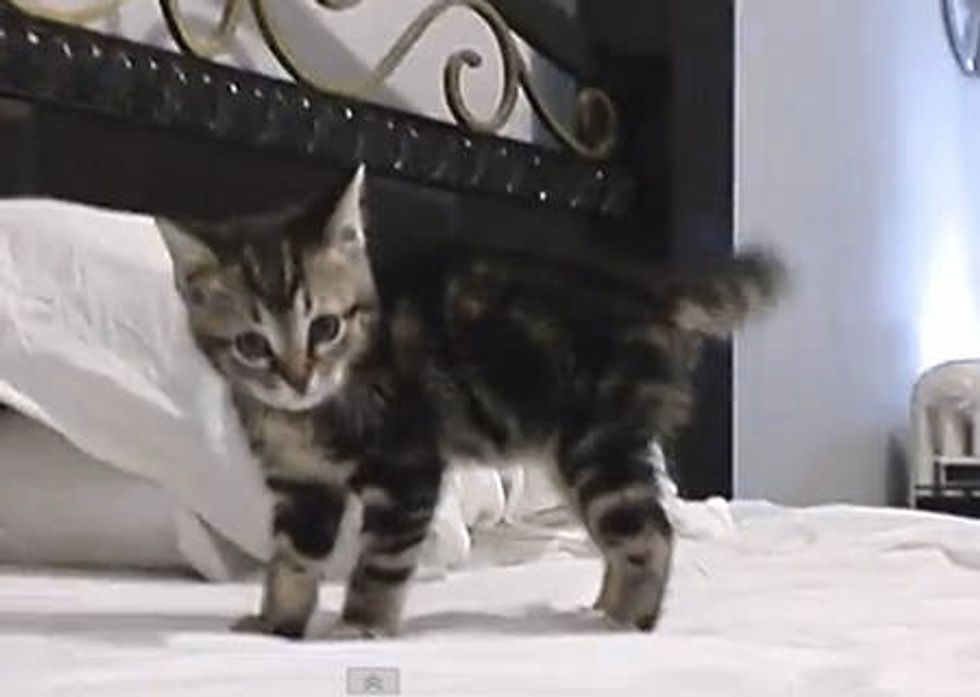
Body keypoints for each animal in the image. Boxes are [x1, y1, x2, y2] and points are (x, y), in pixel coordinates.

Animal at [157, 165, 784, 639]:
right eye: (251, 345)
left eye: (325, 327)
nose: (296, 378)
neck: (310, 413)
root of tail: (644, 288)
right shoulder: (301, 485)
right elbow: (291, 558)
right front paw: (278, 623)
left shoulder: (407, 466)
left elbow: (380, 562)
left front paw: (361, 625)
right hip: (576, 456)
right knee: (621, 537)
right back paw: (602, 607)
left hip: (598, 442)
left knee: (649, 534)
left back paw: (626, 623)